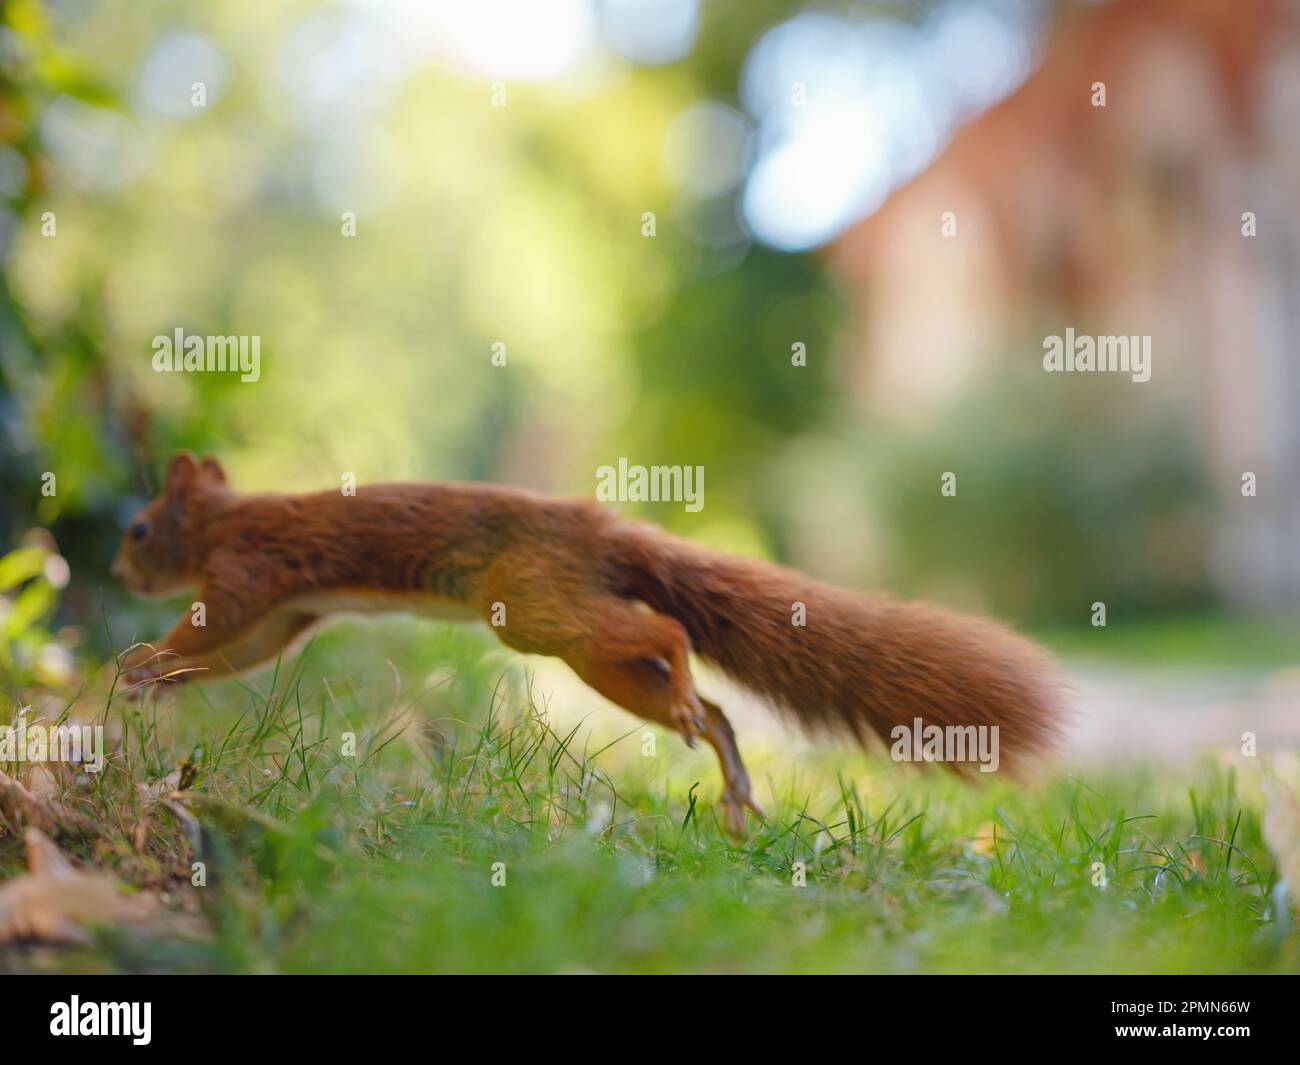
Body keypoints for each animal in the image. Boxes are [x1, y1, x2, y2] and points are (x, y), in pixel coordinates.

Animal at [113, 451, 1065, 835]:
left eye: (138, 527)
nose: (117, 572)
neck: (227, 518)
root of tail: (603, 532)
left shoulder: (251, 570)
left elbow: (212, 627)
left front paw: (138, 660)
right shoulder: (286, 611)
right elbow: (231, 653)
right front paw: (152, 678)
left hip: (535, 608)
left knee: (668, 627)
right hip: (592, 654)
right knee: (708, 702)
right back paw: (727, 770)